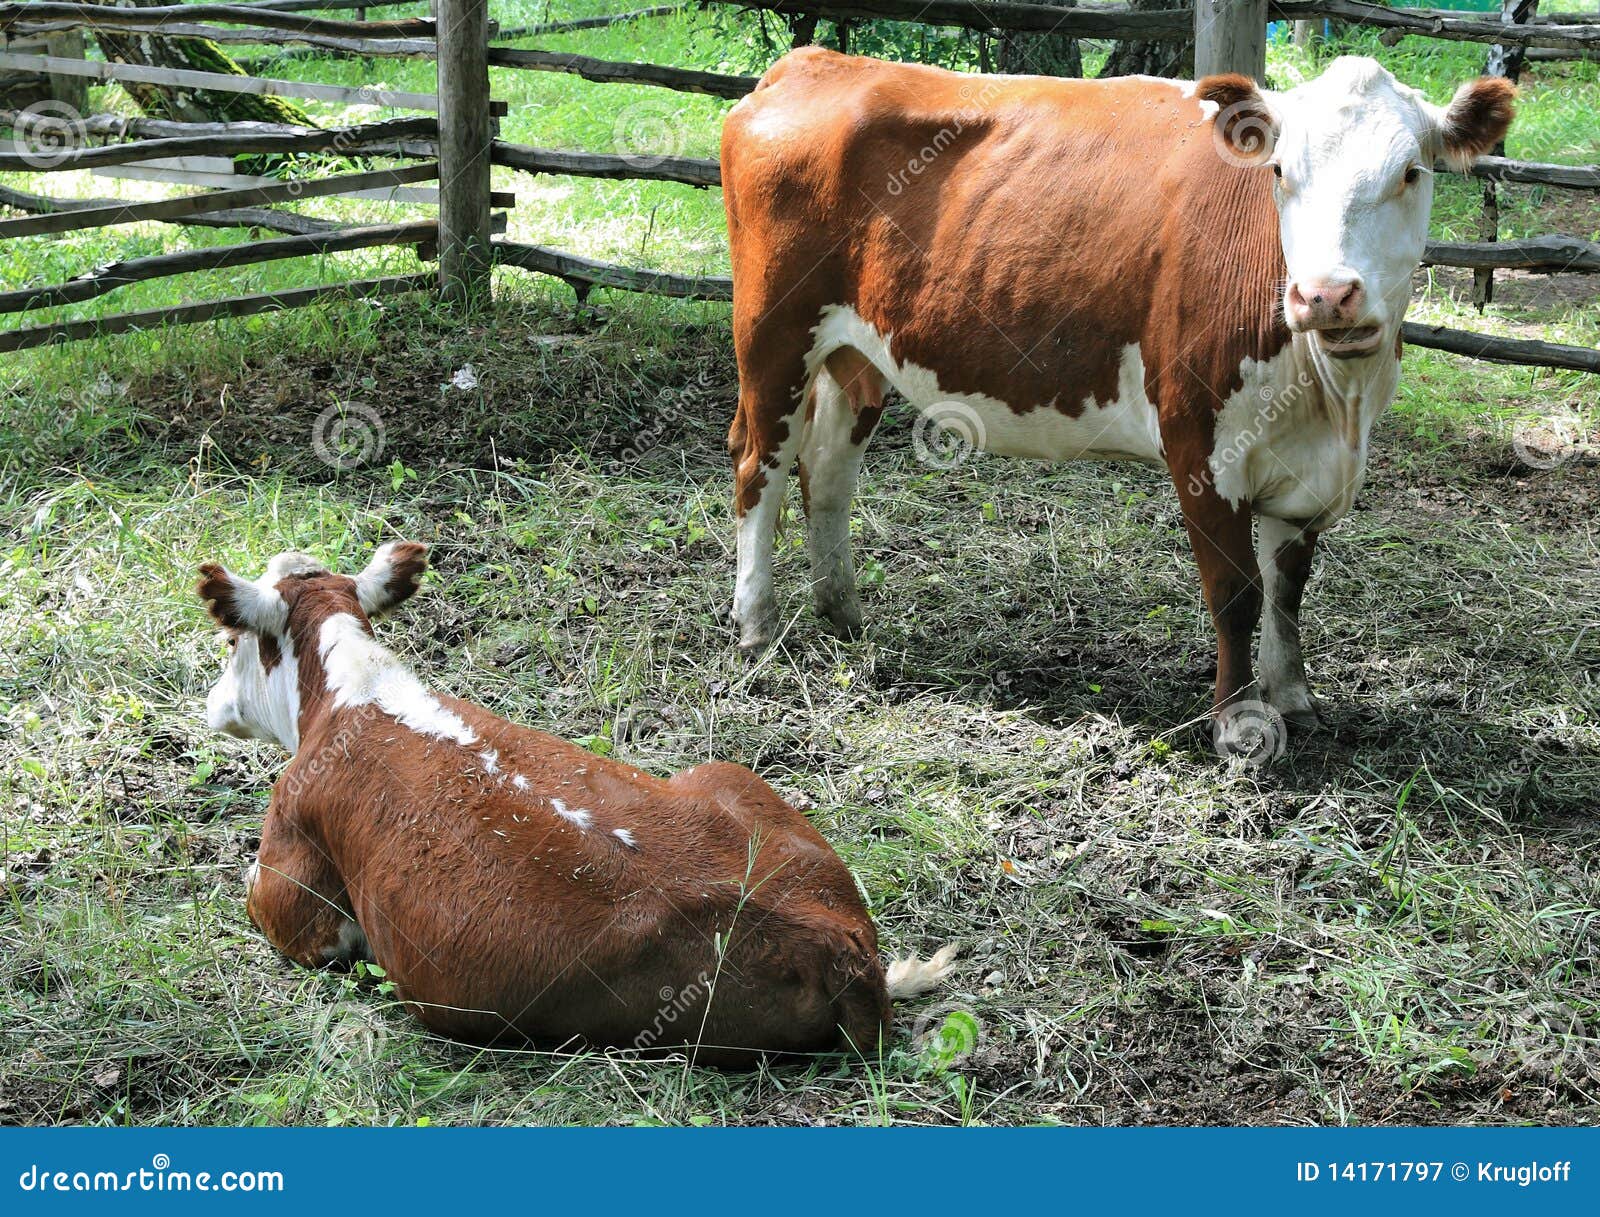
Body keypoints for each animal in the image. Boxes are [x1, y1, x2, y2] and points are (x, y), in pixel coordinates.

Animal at [196, 542, 955, 1066]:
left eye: (231, 639)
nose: (212, 705)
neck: (355, 689)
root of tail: (839, 944)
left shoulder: (294, 883)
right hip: (726, 774)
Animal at [720, 50, 1514, 752]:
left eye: (1410, 172)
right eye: (1282, 172)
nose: (1323, 294)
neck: (1336, 401)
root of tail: (813, 62)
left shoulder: (1304, 469)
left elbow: (1288, 589)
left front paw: (1294, 697)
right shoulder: (1201, 444)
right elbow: (1237, 593)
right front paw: (1239, 725)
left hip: (856, 352)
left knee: (827, 470)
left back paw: (842, 612)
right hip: (772, 331)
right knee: (758, 464)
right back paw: (756, 626)